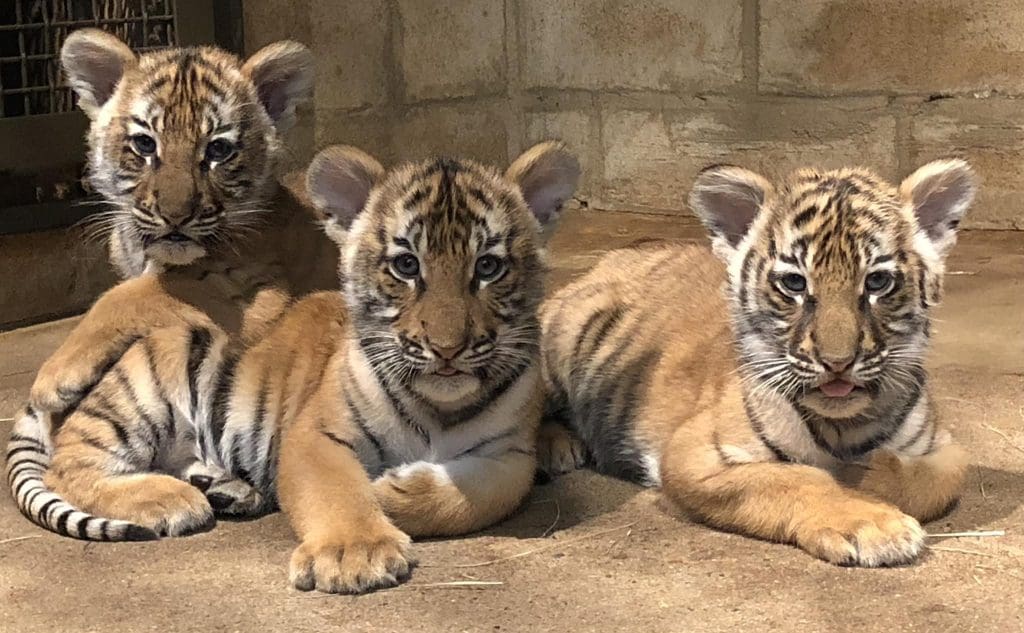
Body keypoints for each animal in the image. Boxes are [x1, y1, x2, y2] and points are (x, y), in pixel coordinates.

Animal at [7, 141, 581, 594]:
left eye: (488, 266)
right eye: (405, 265)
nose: (446, 349)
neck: (438, 407)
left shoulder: (509, 454)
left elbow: (482, 497)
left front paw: (389, 492)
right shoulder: (314, 435)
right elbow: (335, 491)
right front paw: (354, 553)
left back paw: (226, 488)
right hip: (146, 384)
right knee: (71, 467)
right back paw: (172, 498)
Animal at [538, 159, 975, 567]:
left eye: (878, 282)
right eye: (795, 283)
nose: (837, 363)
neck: (843, 426)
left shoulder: (945, 448)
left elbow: (929, 481)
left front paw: (864, 477)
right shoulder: (695, 454)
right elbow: (793, 480)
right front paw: (871, 523)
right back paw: (555, 448)